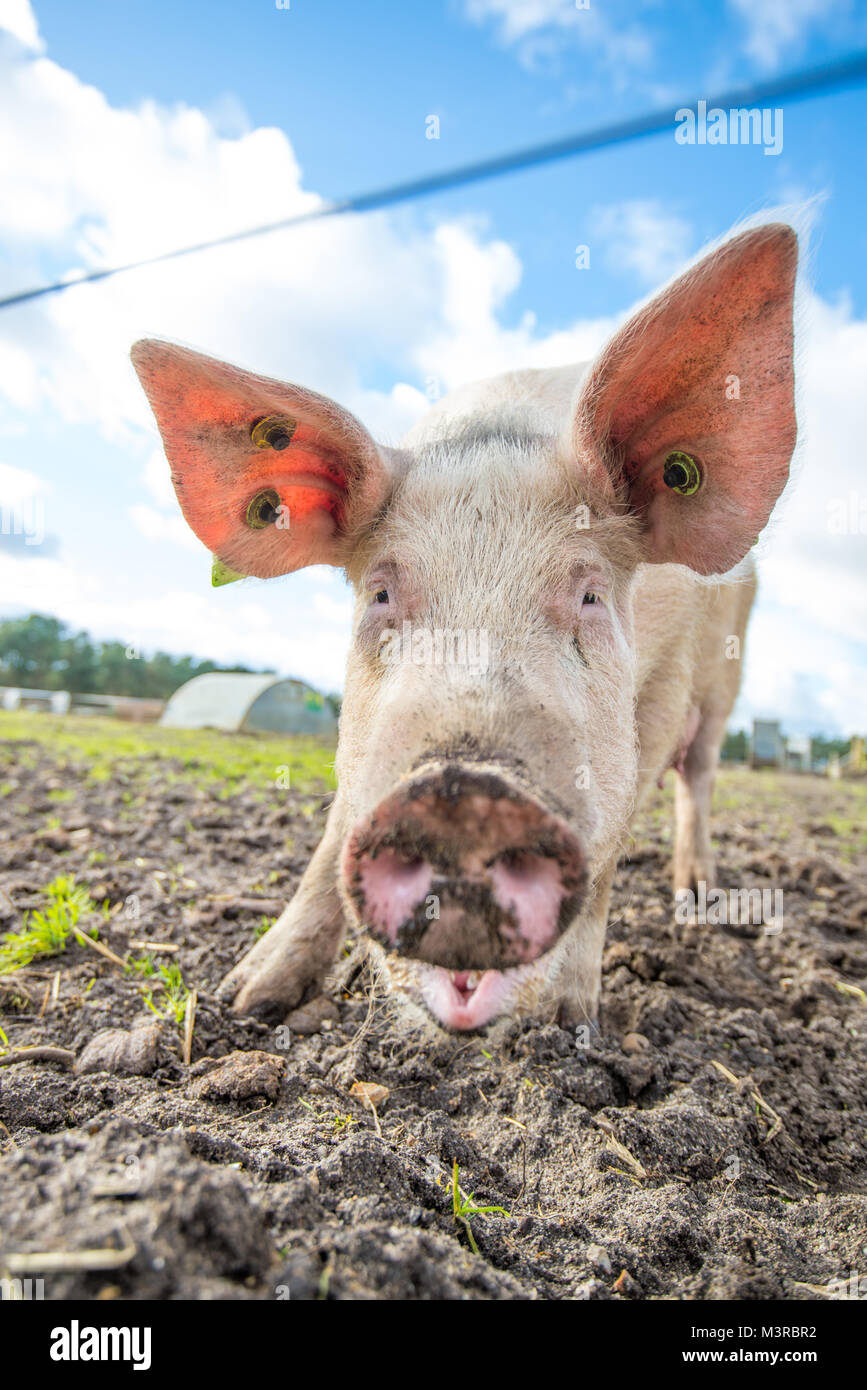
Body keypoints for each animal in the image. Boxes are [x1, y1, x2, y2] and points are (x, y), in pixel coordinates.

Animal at [131, 221, 798, 1032]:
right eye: (381, 594)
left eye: (590, 596)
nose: (465, 798)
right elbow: (335, 825)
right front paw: (247, 996)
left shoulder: (665, 677)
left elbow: (615, 838)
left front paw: (573, 1023)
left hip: (725, 678)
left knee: (697, 773)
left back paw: (697, 894)